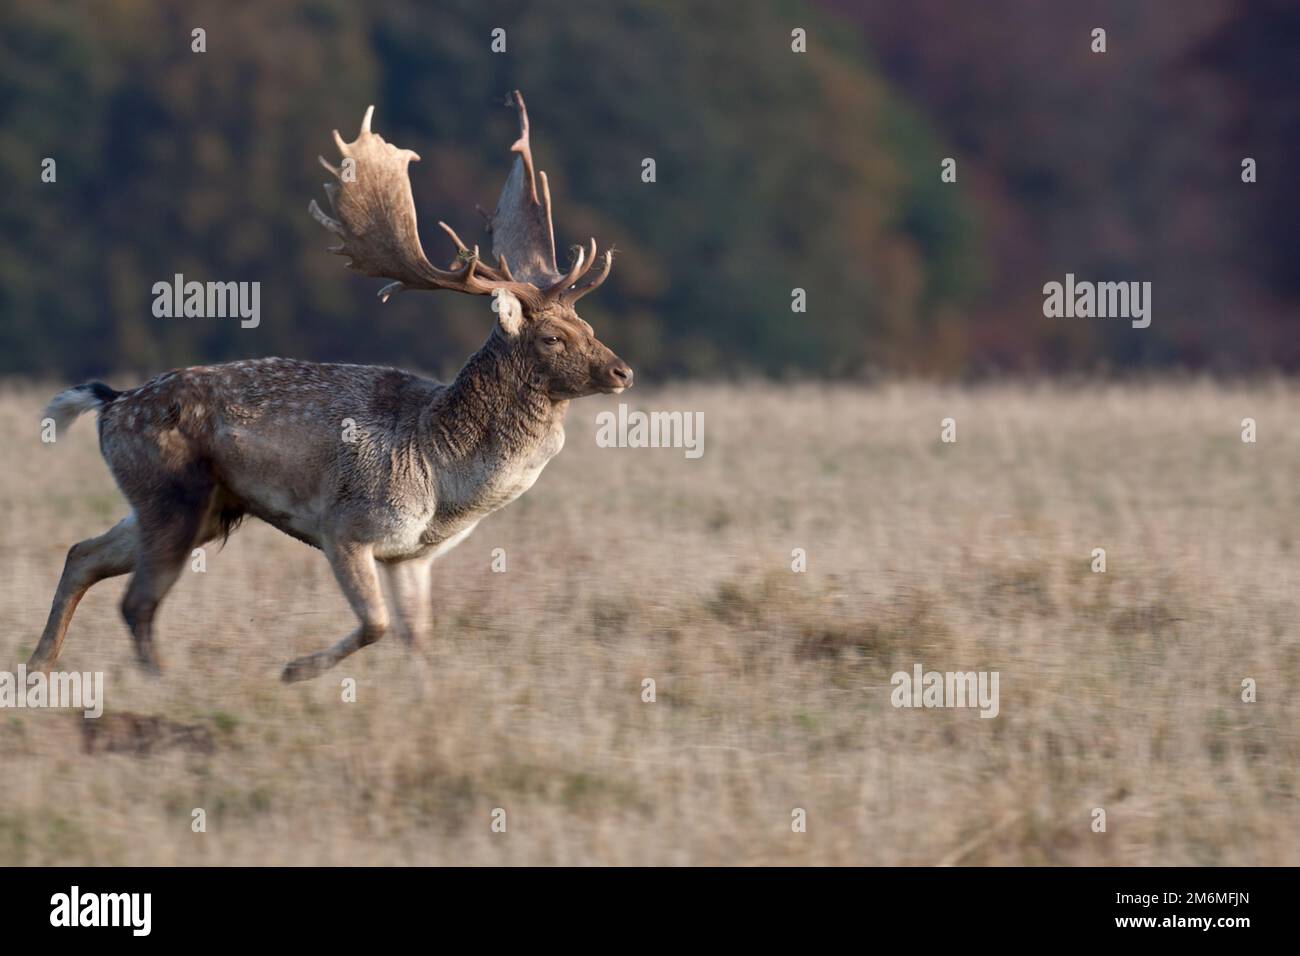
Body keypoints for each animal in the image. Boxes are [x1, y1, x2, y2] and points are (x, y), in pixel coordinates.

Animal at [29, 91, 632, 683]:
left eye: (588, 327)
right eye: (552, 337)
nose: (622, 371)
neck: (441, 478)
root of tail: (111, 404)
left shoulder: (410, 557)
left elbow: (418, 640)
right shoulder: (345, 526)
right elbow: (377, 625)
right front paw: (295, 670)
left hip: (199, 507)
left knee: (82, 554)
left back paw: (39, 666)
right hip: (173, 495)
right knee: (137, 601)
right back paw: (162, 684)